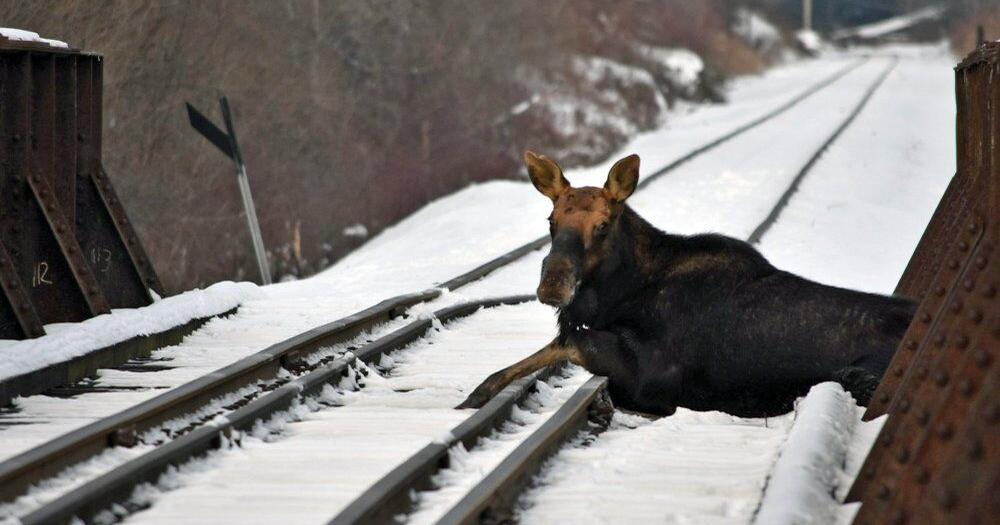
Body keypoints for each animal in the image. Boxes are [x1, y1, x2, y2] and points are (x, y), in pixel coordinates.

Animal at [457, 151, 916, 417]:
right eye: (551, 221)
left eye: (603, 225)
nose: (553, 283)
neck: (616, 296)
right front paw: (473, 398)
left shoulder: (653, 374)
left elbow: (568, 340)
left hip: (856, 375)